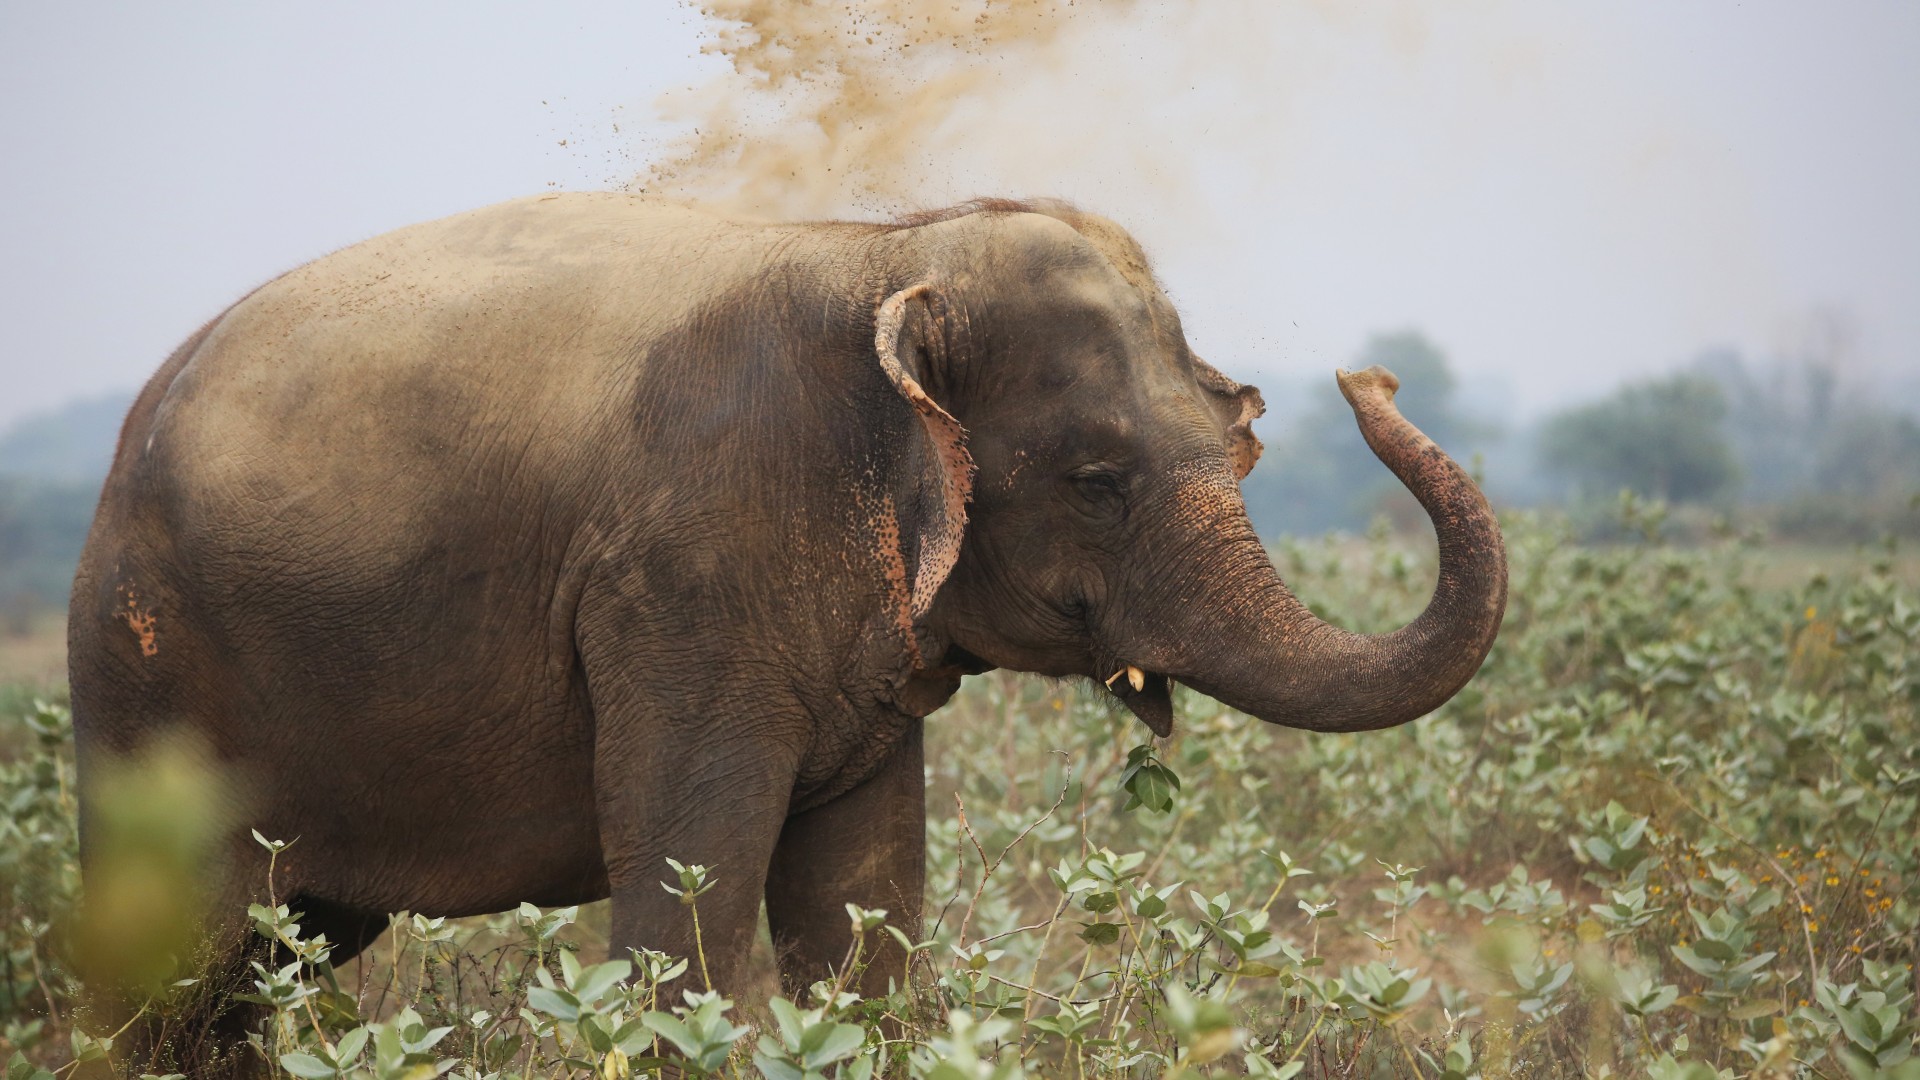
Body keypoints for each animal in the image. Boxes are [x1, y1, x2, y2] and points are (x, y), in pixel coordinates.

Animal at [68, 193, 1505, 1072]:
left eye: (1239, 438)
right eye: (1099, 480)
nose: (1369, 373)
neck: (885, 252)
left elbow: (862, 911)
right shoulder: (683, 585)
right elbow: (688, 897)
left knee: (267, 963)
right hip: (143, 670)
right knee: (170, 956)